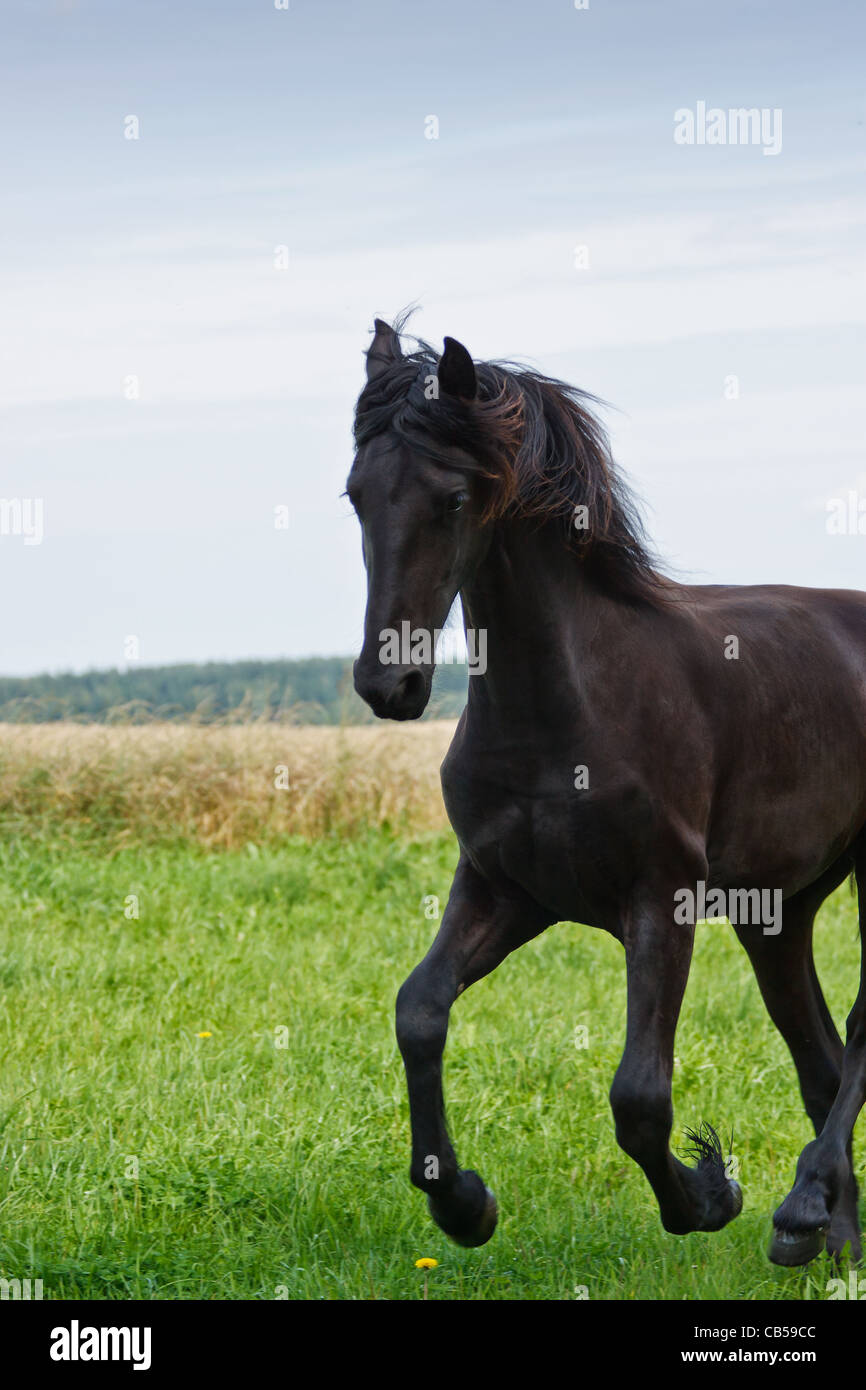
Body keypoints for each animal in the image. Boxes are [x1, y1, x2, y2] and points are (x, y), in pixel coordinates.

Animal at [346, 316, 866, 1266]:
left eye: (451, 500)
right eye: (357, 496)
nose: (387, 684)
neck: (568, 711)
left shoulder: (662, 899)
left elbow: (639, 1097)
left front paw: (710, 1193)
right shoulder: (505, 888)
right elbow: (420, 1011)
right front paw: (464, 1204)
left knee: (859, 1030)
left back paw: (802, 1210)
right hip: (780, 907)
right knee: (821, 1053)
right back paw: (831, 1238)